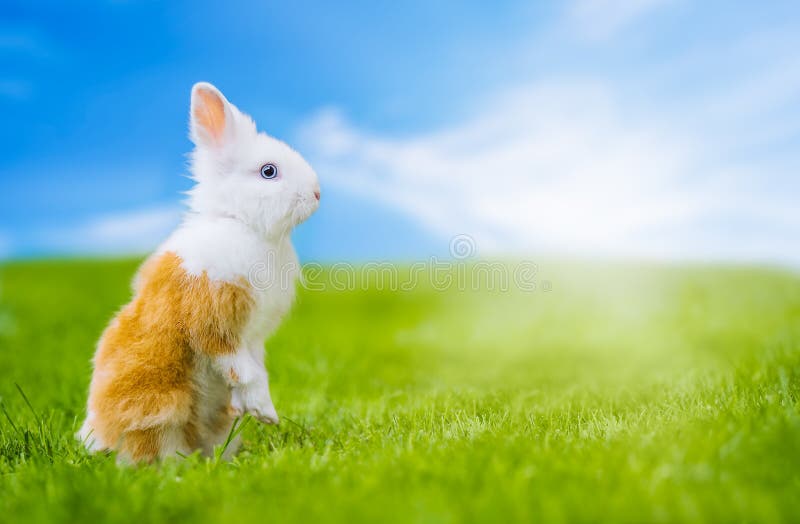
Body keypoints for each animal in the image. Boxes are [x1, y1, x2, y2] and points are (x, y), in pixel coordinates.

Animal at [77, 82, 320, 463]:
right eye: (269, 171)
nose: (317, 193)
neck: (241, 223)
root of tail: (100, 435)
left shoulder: (254, 336)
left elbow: (256, 371)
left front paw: (261, 412)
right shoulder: (215, 322)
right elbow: (243, 369)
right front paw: (266, 413)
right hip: (162, 405)